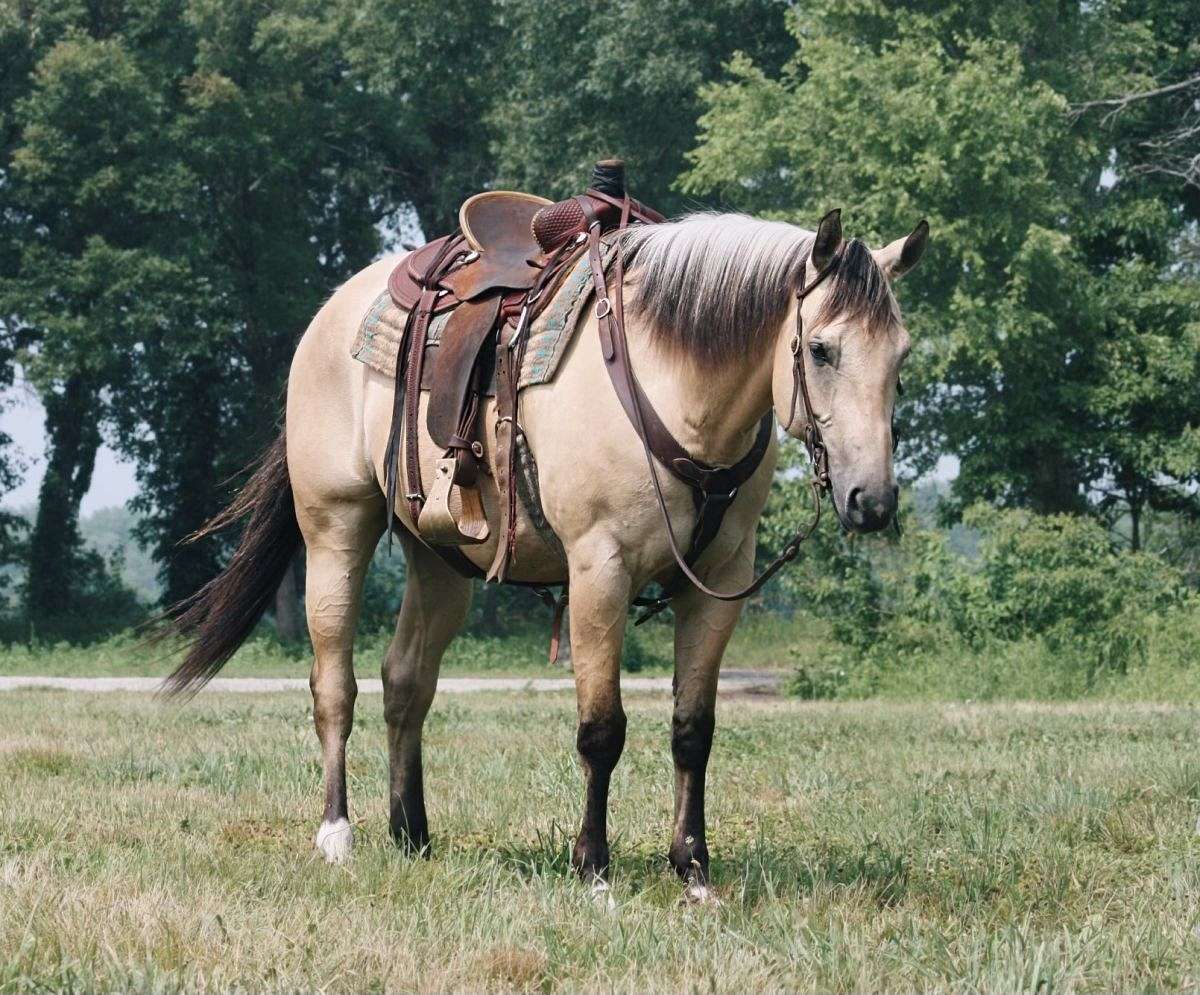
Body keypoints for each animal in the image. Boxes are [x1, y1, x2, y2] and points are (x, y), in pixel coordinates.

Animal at [163, 205, 927, 901]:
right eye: (821, 349)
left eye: (902, 355)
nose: (872, 499)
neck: (672, 383)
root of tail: (333, 311)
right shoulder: (600, 571)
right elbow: (602, 730)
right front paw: (594, 869)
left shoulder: (717, 582)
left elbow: (693, 729)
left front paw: (693, 871)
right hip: (335, 529)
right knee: (335, 686)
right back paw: (337, 834)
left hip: (438, 560)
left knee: (406, 681)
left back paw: (412, 834)